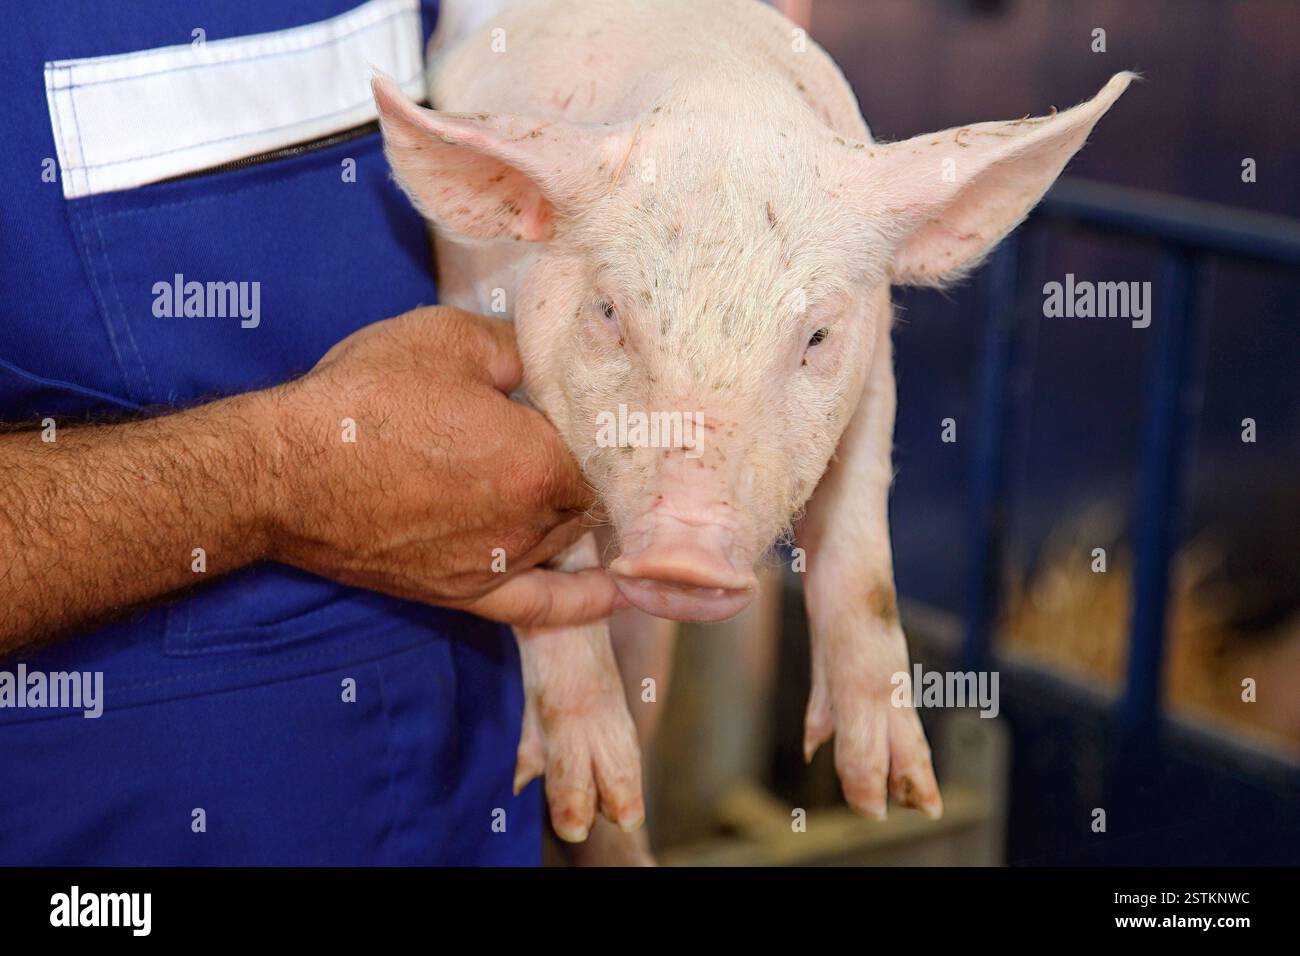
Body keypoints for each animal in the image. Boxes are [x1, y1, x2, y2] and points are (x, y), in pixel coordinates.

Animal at [371, 0, 1132, 843]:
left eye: (818, 336)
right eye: (608, 310)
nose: (686, 557)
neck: (714, 84)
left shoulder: (875, 371)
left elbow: (863, 546)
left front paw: (894, 796)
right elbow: (551, 564)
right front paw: (589, 802)